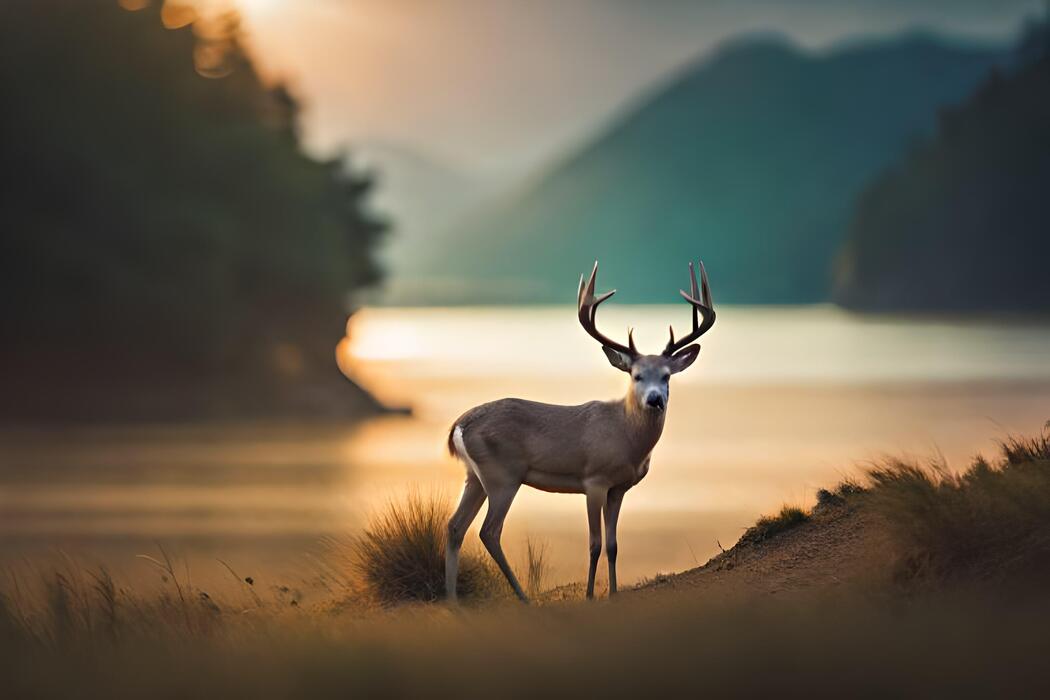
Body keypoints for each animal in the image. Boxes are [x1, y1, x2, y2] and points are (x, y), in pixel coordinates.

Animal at [445, 260, 715, 603]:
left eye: (667, 376)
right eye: (636, 375)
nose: (655, 399)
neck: (626, 437)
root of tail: (459, 424)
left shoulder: (618, 488)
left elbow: (613, 545)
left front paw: (613, 593)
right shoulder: (594, 481)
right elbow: (594, 544)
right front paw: (589, 596)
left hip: (475, 476)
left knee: (455, 526)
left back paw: (453, 602)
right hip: (503, 475)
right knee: (489, 531)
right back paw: (522, 597)